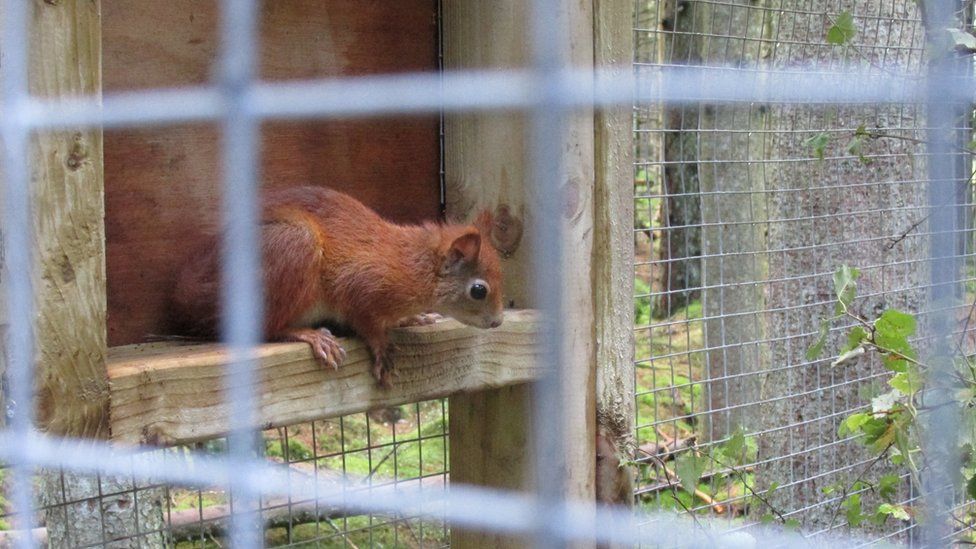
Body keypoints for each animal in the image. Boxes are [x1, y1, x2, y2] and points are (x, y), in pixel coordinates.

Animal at [171, 185, 504, 387]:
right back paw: (308, 334)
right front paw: (382, 347)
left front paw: (414, 318)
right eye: (479, 290)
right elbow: (365, 321)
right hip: (292, 246)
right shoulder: (361, 286)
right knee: (264, 328)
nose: (498, 322)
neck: (415, 267)